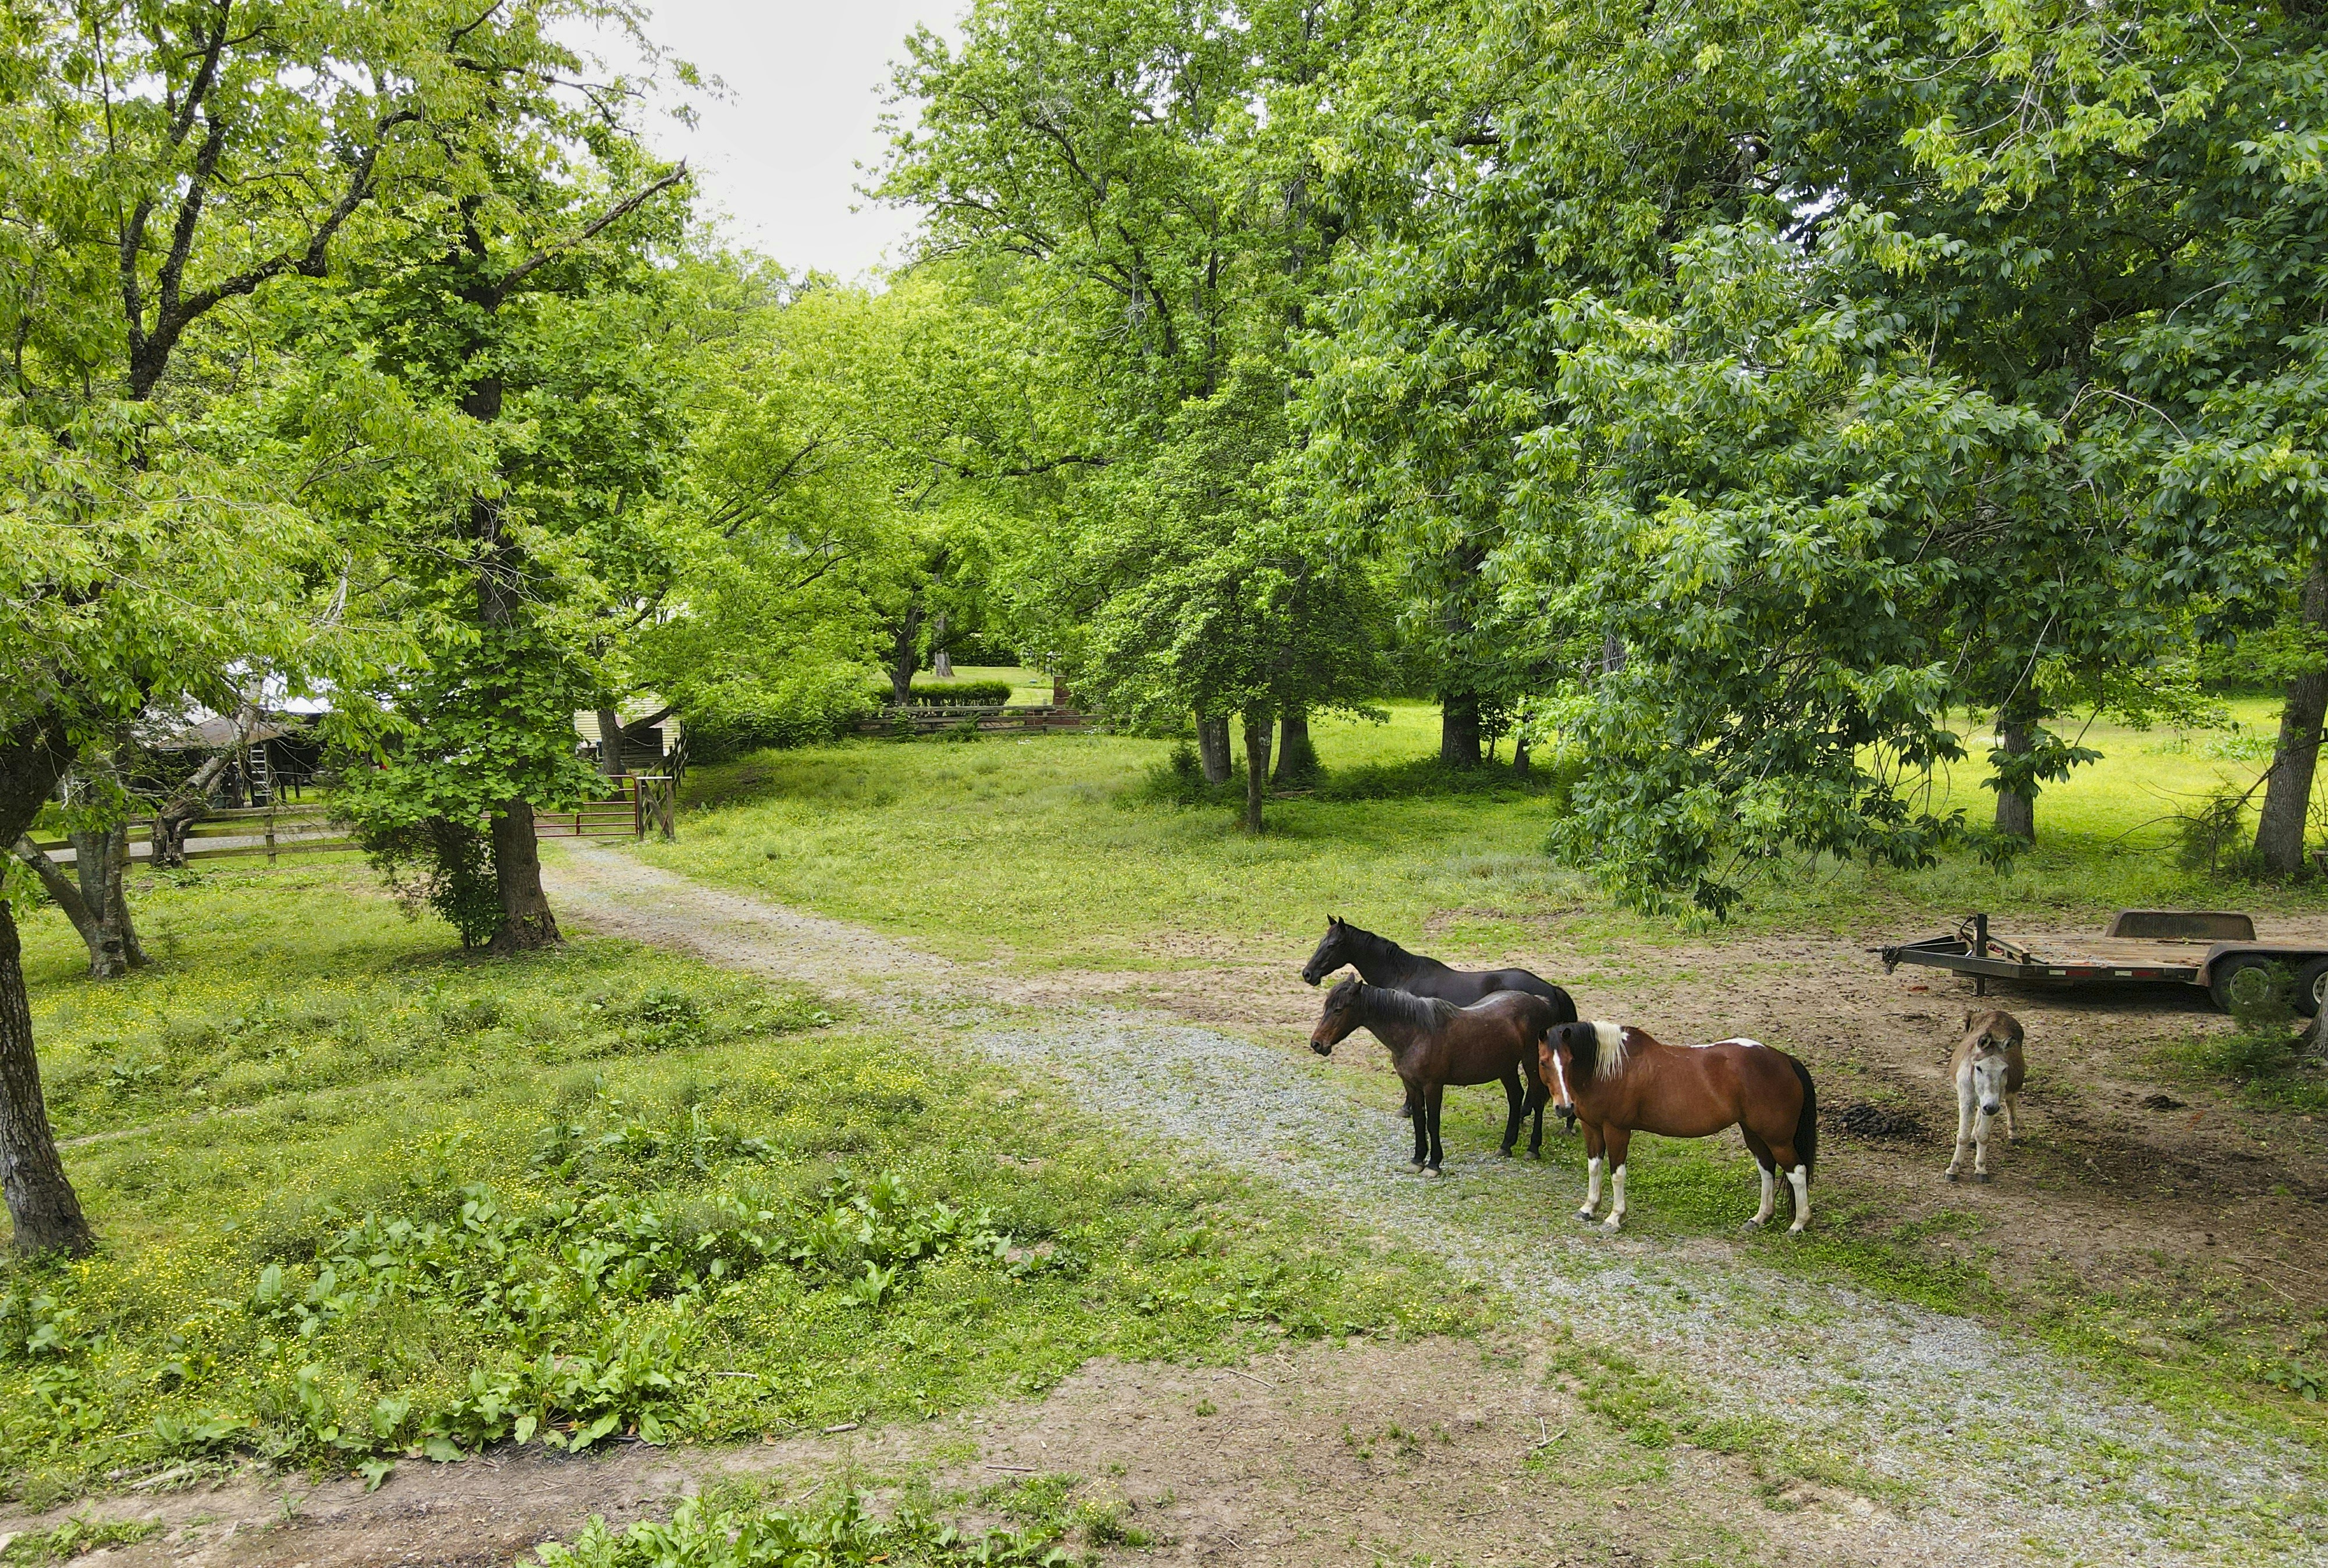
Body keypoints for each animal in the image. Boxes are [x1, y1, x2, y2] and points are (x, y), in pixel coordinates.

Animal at [1301, 916, 1578, 1123]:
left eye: (1332, 945)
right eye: (1322, 941)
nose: (1308, 974)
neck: (1403, 975)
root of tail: (1551, 989)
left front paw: (1407, 1108)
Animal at [1308, 978, 1557, 1173]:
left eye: (1339, 1009)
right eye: (1326, 1007)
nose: (1317, 1044)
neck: (1416, 1034)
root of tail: (1542, 1003)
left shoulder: (1433, 1086)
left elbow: (1433, 1123)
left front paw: (1434, 1164)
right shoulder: (1411, 1085)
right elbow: (1419, 1121)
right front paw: (1417, 1160)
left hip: (1531, 1065)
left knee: (1536, 1100)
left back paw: (1533, 1148)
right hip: (1505, 1068)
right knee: (1516, 1097)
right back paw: (1506, 1146)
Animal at [1542, 1021, 1818, 1233]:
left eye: (1571, 1060)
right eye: (1544, 1062)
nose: (1564, 1107)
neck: (1609, 1068)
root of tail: (1786, 1061)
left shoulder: (1616, 1130)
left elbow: (1617, 1174)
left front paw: (1615, 1218)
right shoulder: (1592, 1127)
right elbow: (1594, 1167)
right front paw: (1588, 1208)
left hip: (1778, 1139)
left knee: (1797, 1172)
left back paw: (1799, 1224)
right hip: (1754, 1133)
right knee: (1767, 1169)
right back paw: (1759, 1218)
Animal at [1944, 1009, 2026, 1184]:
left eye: (2004, 1069)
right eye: (1979, 1068)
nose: (1991, 1107)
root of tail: (1999, 1012)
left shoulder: (1995, 1101)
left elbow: (1984, 1135)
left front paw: (1981, 1169)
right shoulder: (1966, 1099)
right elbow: (1962, 1135)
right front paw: (1953, 1169)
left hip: (2005, 1095)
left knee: (2011, 1102)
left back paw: (2013, 1133)